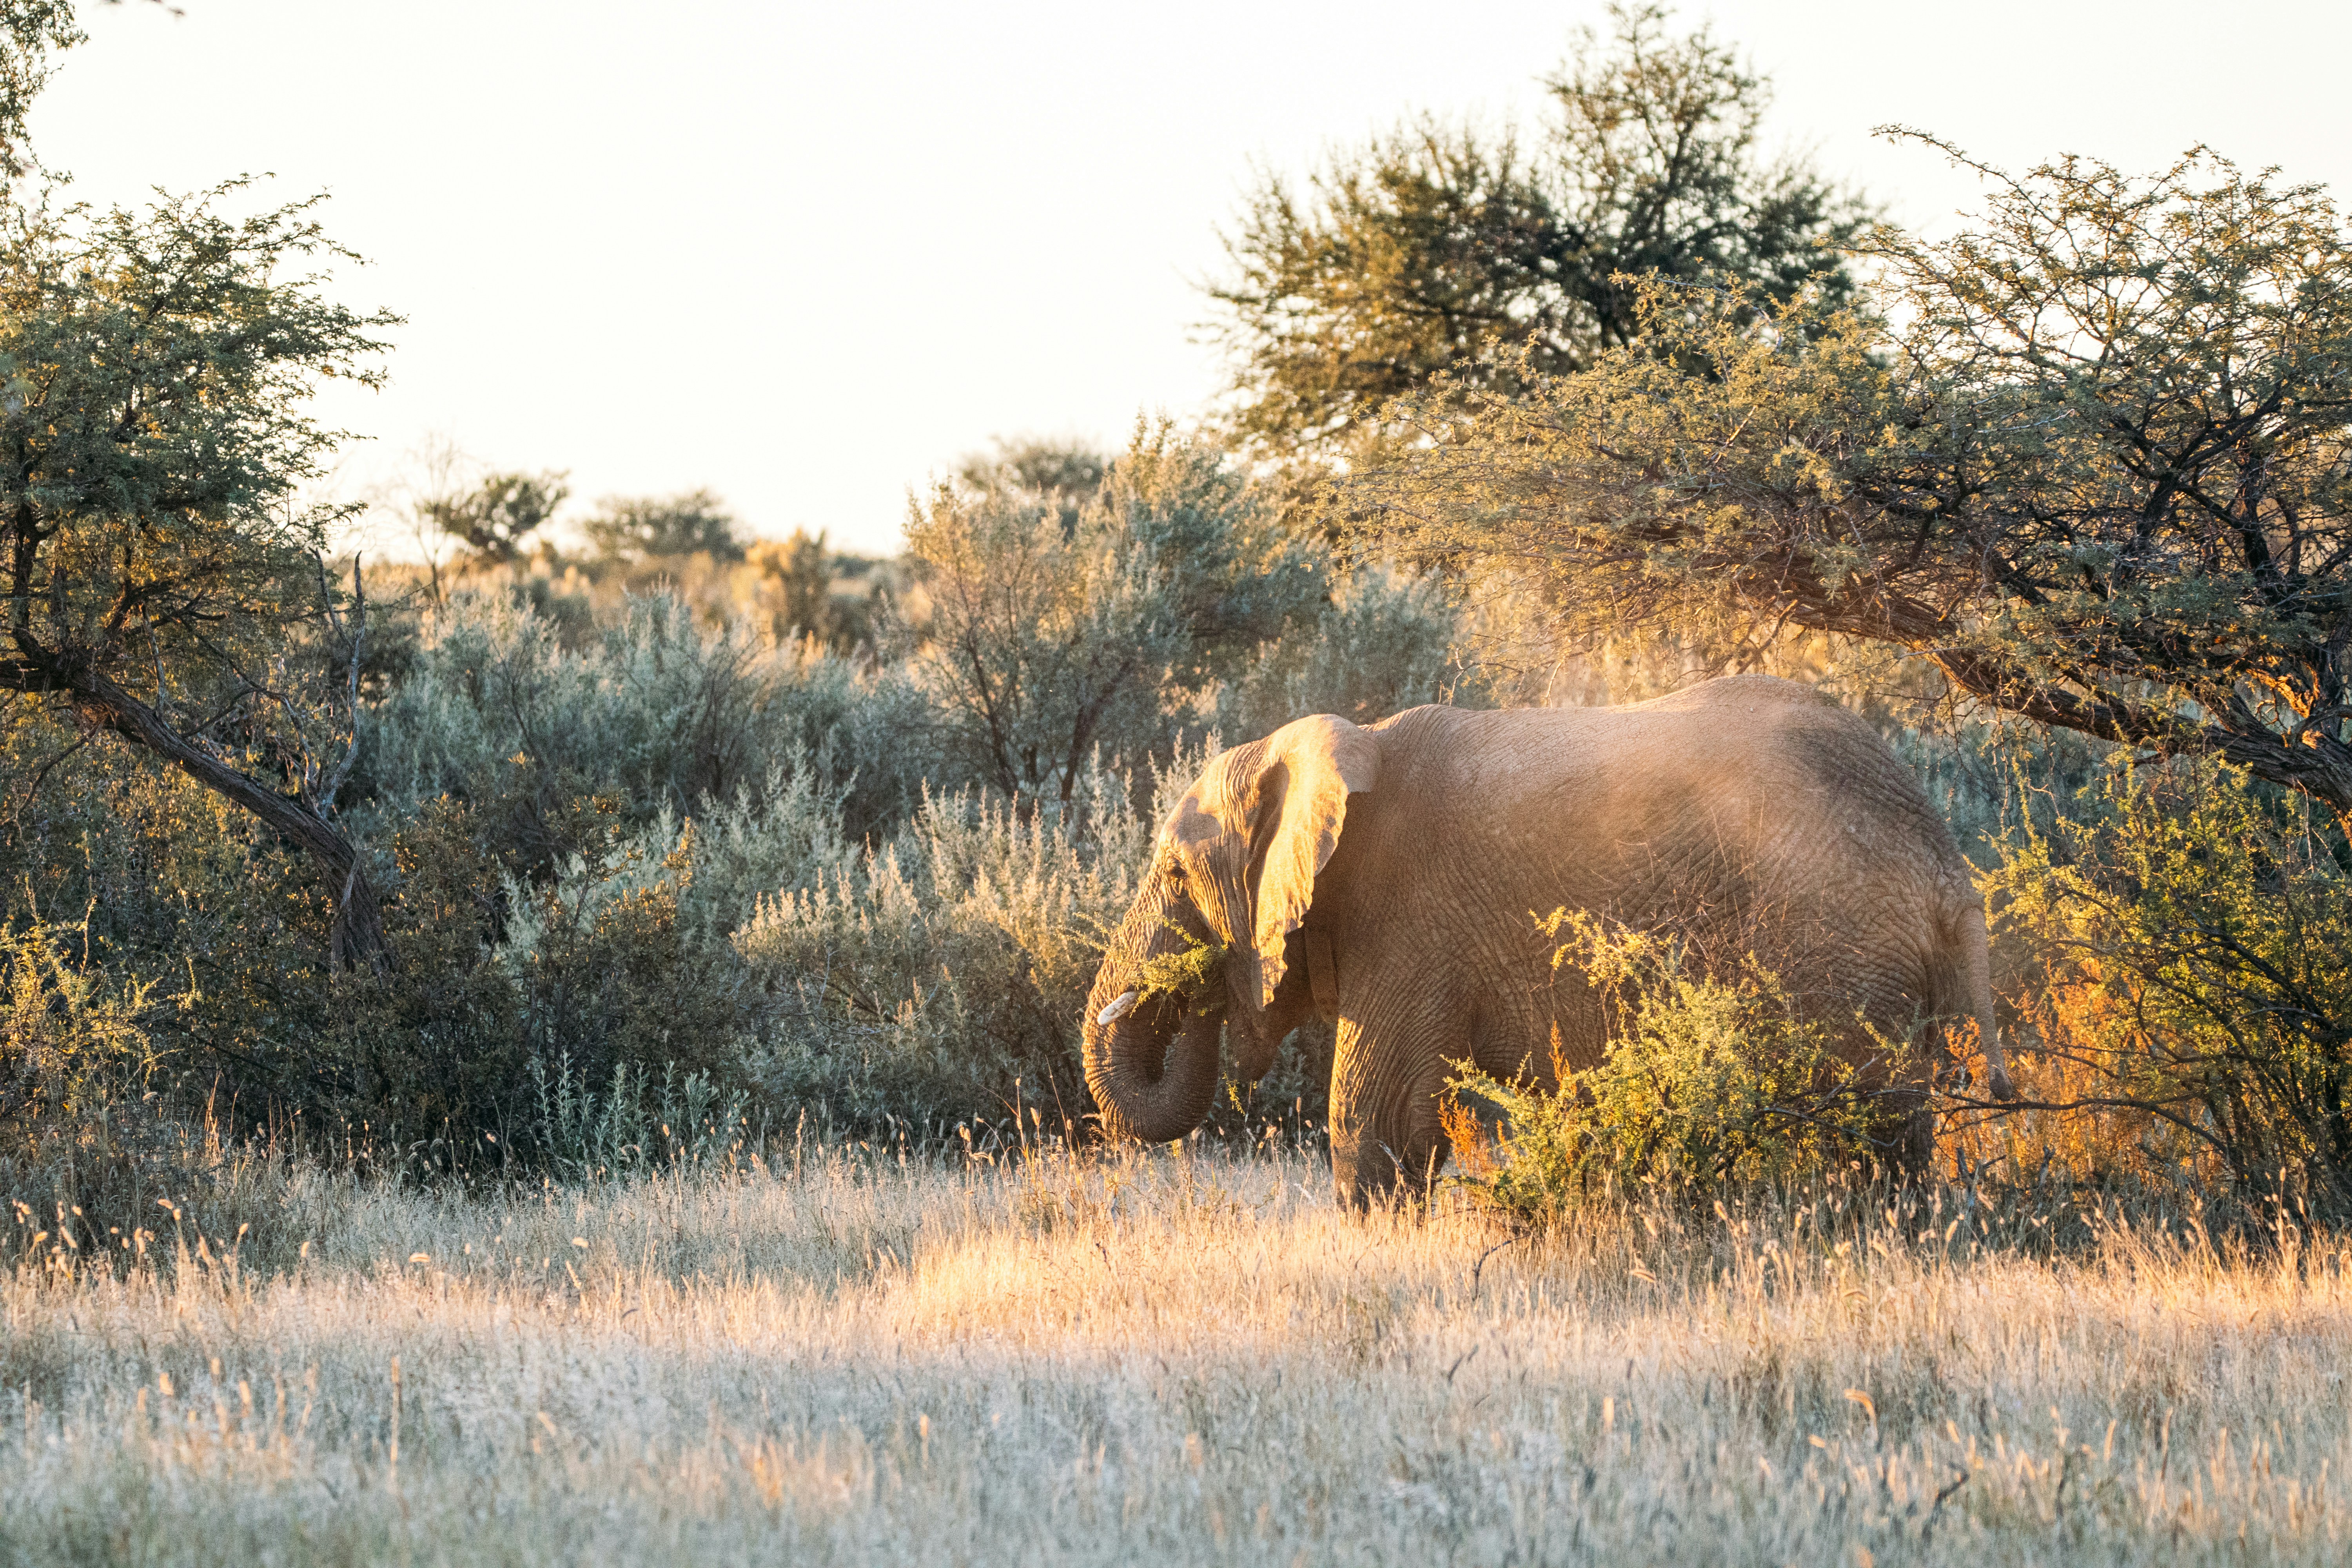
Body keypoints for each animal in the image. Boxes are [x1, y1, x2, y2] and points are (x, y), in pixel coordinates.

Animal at [1081, 675, 2016, 1205]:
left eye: (1175, 874)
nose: (1191, 991)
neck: (1336, 744)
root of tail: (1944, 858)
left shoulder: (1407, 918)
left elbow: (1375, 1116)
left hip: (1835, 939)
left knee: (1862, 1119)